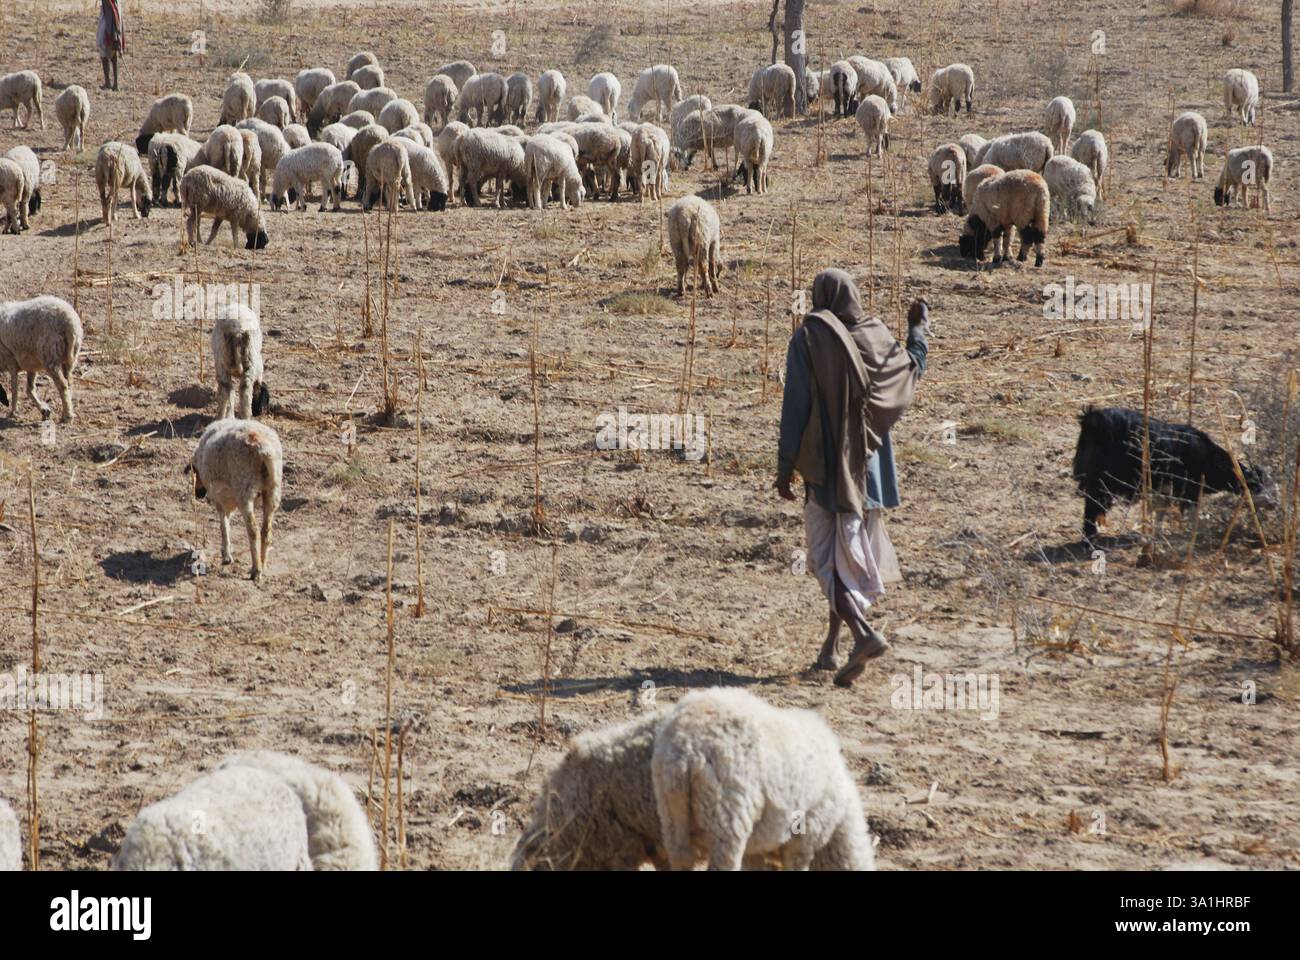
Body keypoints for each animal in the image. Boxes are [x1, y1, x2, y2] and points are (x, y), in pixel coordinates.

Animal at [0, 295, 82, 423]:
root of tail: (68, 322)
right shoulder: (31, 365)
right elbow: (30, 390)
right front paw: (44, 410)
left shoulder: (10, 358)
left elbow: (15, 389)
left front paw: (13, 412)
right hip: (70, 357)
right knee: (69, 382)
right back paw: (67, 412)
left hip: (50, 355)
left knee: (62, 384)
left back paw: (67, 416)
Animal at [188, 417, 283, 580]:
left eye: (195, 474)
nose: (197, 494)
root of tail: (263, 448)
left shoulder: (219, 499)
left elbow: (224, 525)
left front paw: (226, 555)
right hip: (272, 491)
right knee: (266, 530)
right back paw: (263, 564)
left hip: (244, 491)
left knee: (253, 530)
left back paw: (256, 570)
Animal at [652, 688, 875, 871]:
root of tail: (685, 748)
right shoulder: (806, 836)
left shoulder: (758, 845)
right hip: (727, 815)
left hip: (670, 810)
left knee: (680, 858)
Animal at [1073, 406, 1272, 543]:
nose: (1272, 504)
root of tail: (1093, 421)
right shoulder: (1186, 491)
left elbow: (1162, 512)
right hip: (1102, 481)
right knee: (1092, 507)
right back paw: (1090, 539)